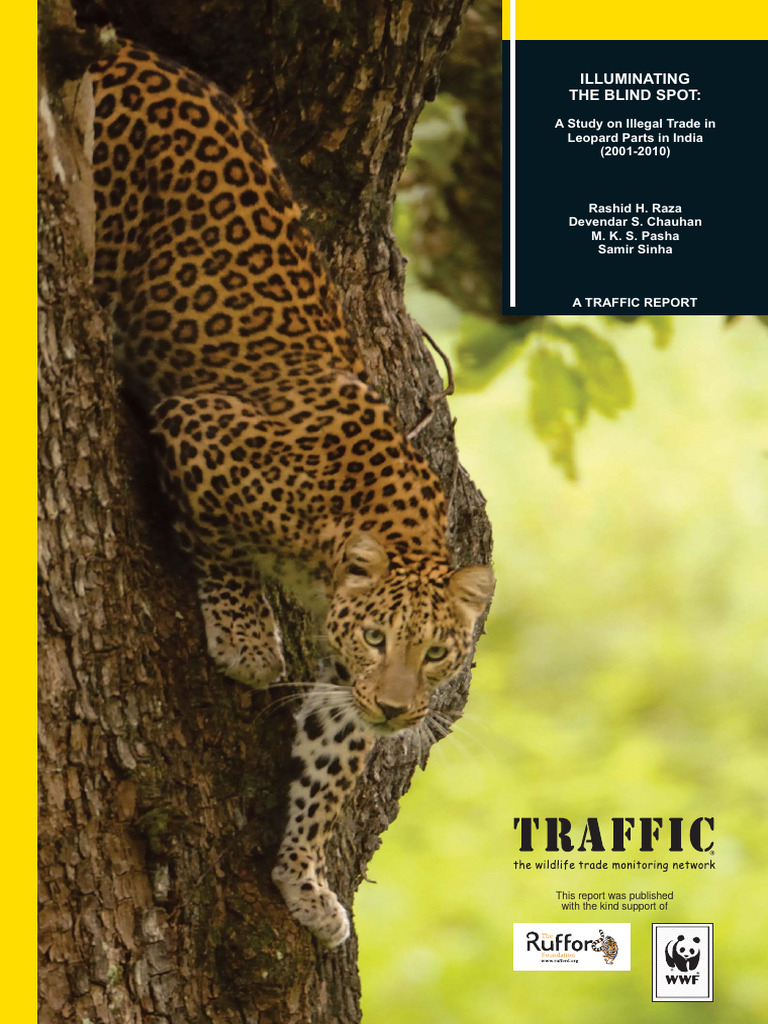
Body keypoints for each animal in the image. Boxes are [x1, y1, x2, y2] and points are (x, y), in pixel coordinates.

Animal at [90, 40, 495, 948]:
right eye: (378, 637)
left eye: (438, 652)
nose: (399, 712)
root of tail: (133, 53)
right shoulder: (197, 428)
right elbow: (220, 548)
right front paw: (245, 641)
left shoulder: (347, 685)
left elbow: (332, 758)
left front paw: (305, 880)